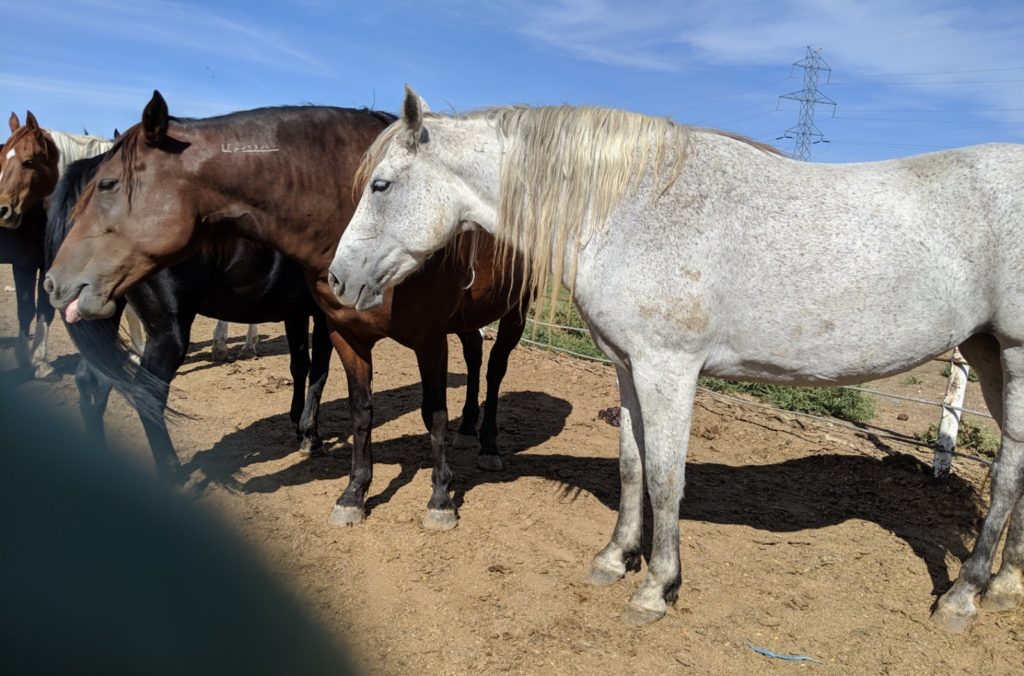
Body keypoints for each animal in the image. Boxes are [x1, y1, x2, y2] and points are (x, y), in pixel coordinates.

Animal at [0, 112, 112, 377]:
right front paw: (34, 360)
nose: (2, 210)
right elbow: (31, 309)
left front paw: (33, 358)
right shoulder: (29, 264)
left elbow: (39, 309)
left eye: (28, 162)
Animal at [47, 153, 334, 485]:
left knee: (92, 381)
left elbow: (300, 366)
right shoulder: (324, 316)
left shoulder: (296, 312)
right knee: (147, 393)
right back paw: (171, 470)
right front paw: (311, 437)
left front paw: (298, 425)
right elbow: (319, 373)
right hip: (168, 332)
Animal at [325, 85, 1024, 632]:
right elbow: (632, 466)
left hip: (1014, 357)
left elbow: (666, 477)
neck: (630, 207)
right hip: (988, 354)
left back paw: (962, 596)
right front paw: (614, 559)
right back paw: (1004, 586)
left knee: (1007, 475)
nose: (337, 280)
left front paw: (657, 587)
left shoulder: (669, 370)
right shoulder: (629, 368)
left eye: (381, 184)